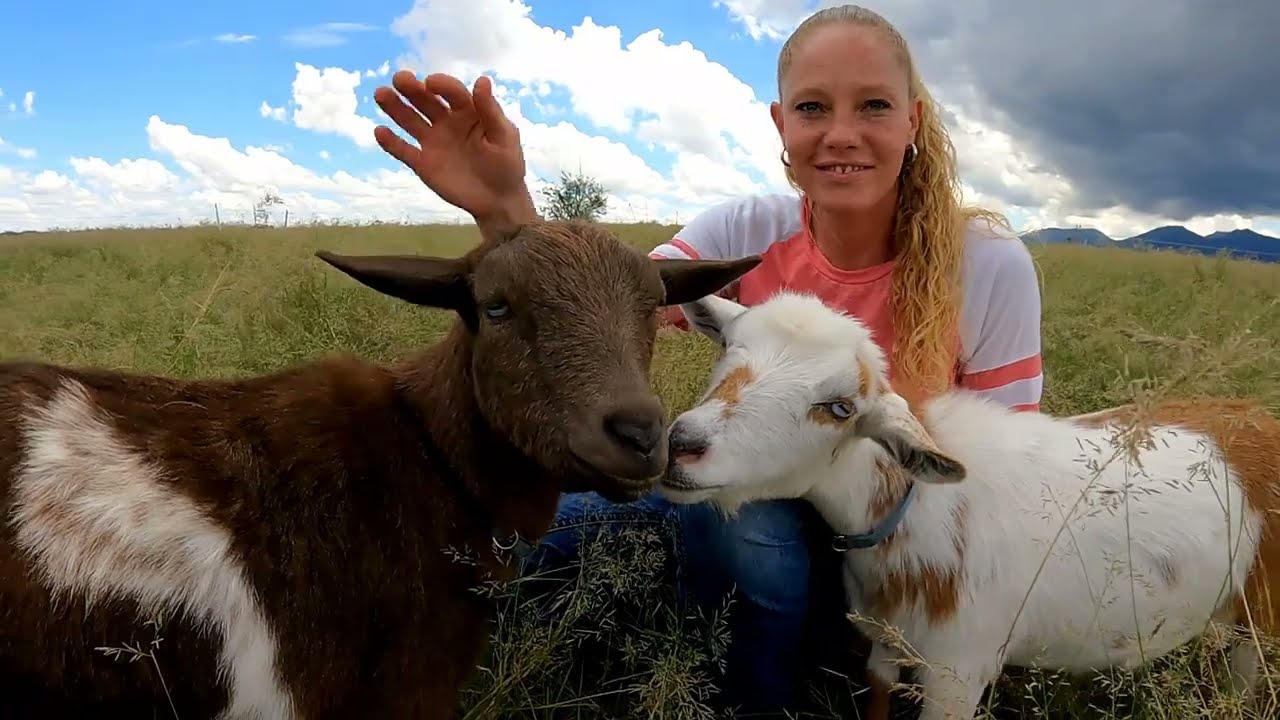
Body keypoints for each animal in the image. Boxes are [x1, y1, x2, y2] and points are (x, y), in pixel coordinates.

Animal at [657, 290, 1280, 720]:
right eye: (727, 347)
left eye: (839, 408)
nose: (682, 445)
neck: (917, 507)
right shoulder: (886, 644)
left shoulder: (958, 670)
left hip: (1262, 619)